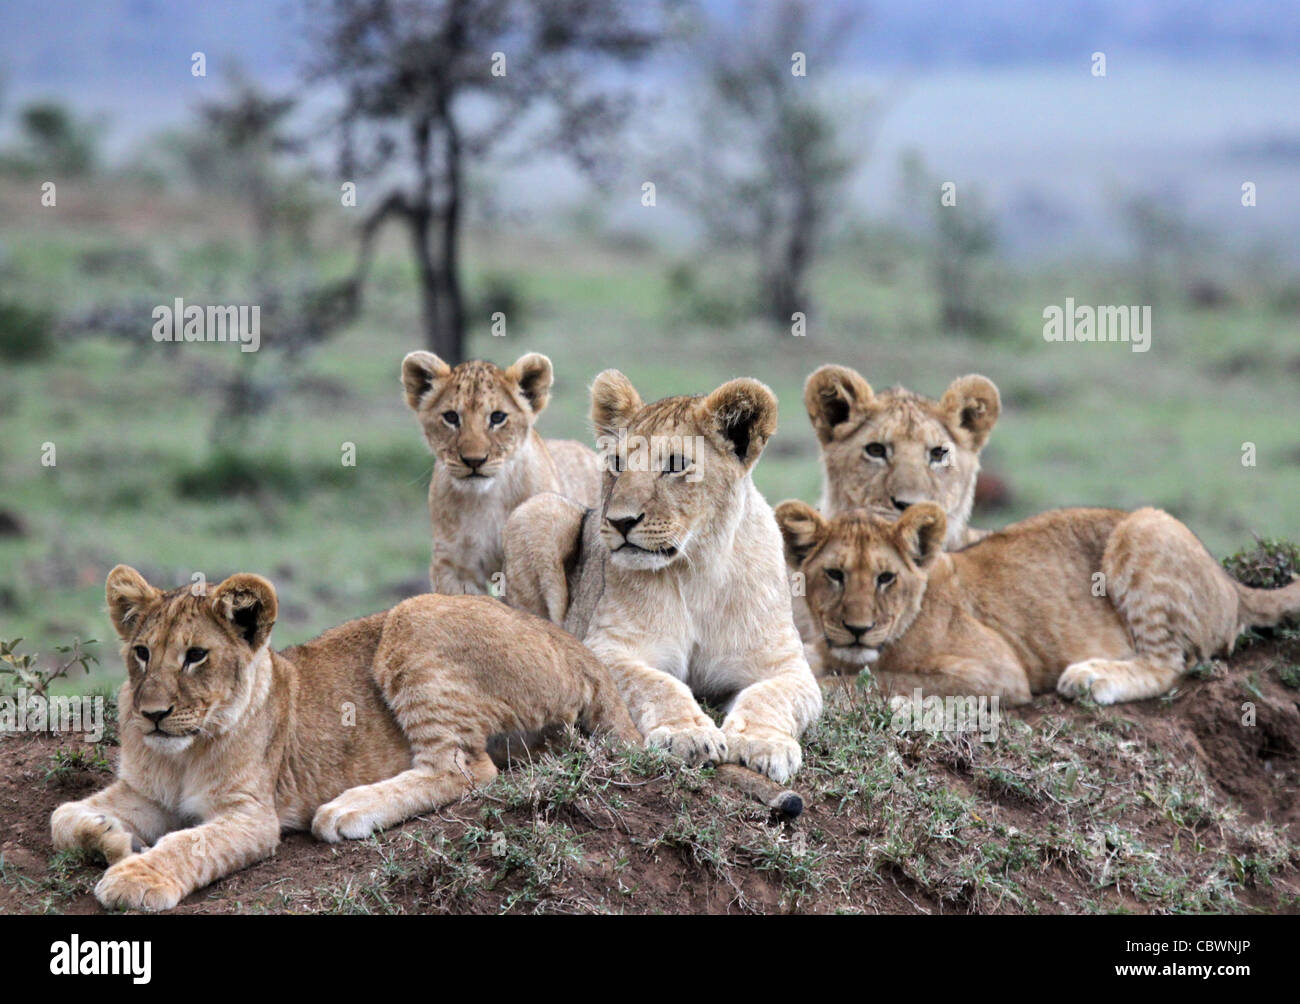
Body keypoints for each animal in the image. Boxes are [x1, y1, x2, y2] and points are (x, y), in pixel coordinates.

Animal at [51, 565, 638, 912]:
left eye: (196, 655)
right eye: (142, 653)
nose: (152, 714)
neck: (181, 755)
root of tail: (580, 650)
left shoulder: (251, 814)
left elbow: (190, 842)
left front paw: (134, 876)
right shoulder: (144, 793)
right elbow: (63, 817)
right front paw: (109, 836)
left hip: (415, 616)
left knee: (463, 768)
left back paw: (347, 809)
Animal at [503, 371, 822, 783]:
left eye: (675, 465)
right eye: (616, 462)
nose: (620, 522)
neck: (697, 567)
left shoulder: (786, 664)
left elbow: (770, 696)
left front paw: (763, 744)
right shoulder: (607, 647)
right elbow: (658, 685)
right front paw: (687, 734)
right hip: (538, 511)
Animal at [775, 500, 1300, 702]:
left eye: (886, 578)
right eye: (835, 575)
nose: (857, 629)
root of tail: (1231, 584)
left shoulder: (997, 673)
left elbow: (878, 680)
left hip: (1145, 525)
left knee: (1167, 663)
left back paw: (1092, 678)